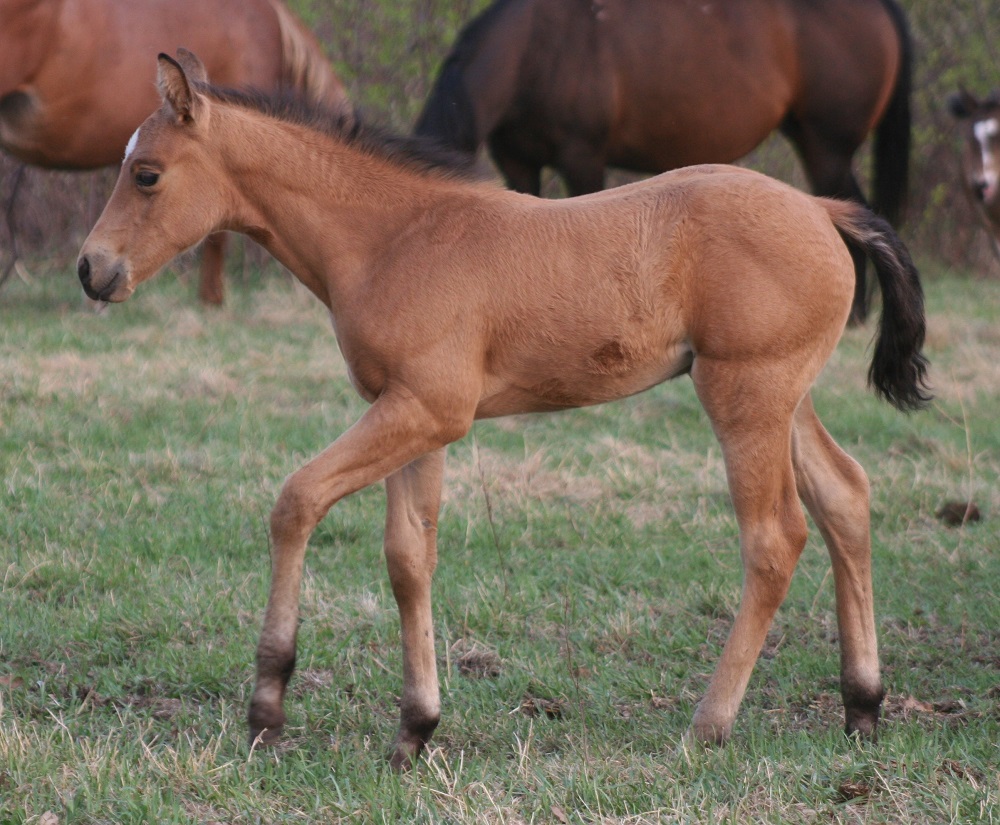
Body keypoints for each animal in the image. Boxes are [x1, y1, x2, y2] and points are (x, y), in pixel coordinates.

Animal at [78, 51, 930, 769]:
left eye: (146, 174)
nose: (92, 269)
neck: (393, 237)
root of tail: (822, 209)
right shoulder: (411, 417)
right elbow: (408, 555)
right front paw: (414, 729)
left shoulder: (428, 410)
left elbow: (296, 500)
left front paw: (267, 709)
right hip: (784, 395)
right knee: (845, 496)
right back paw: (862, 706)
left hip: (744, 393)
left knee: (775, 535)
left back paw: (709, 724)